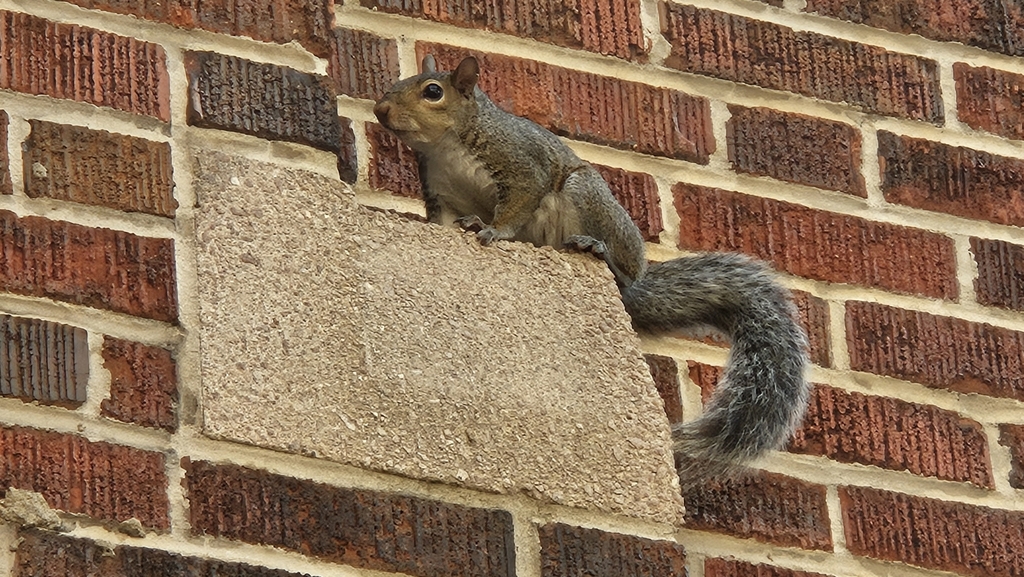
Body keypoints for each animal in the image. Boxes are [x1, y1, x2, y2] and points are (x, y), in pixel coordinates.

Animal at [373, 55, 810, 488]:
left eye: (433, 91)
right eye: (396, 83)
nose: (380, 110)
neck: (447, 146)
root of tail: (634, 288)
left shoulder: (520, 165)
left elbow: (517, 204)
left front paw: (493, 229)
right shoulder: (441, 192)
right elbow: (446, 222)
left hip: (584, 195)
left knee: (617, 265)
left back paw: (596, 249)